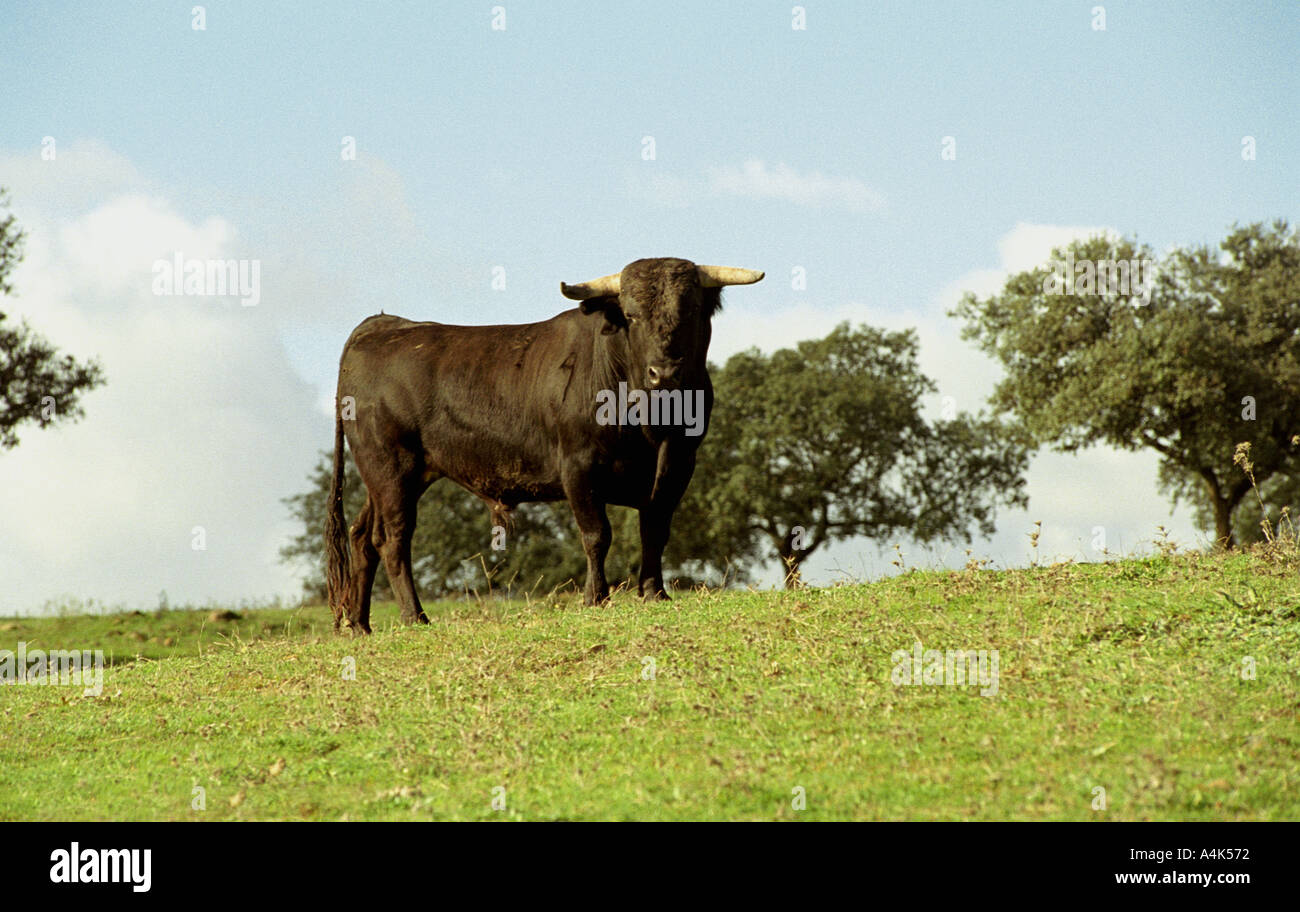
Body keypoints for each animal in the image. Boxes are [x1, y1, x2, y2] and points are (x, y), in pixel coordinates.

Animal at [324, 257, 764, 633]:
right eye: (631, 315)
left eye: (690, 311)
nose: (664, 373)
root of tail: (383, 325)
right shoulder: (578, 467)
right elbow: (597, 534)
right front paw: (596, 597)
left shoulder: (678, 464)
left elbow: (654, 530)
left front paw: (654, 592)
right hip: (391, 468)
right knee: (393, 539)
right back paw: (414, 616)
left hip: (392, 476)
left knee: (362, 536)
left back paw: (360, 625)